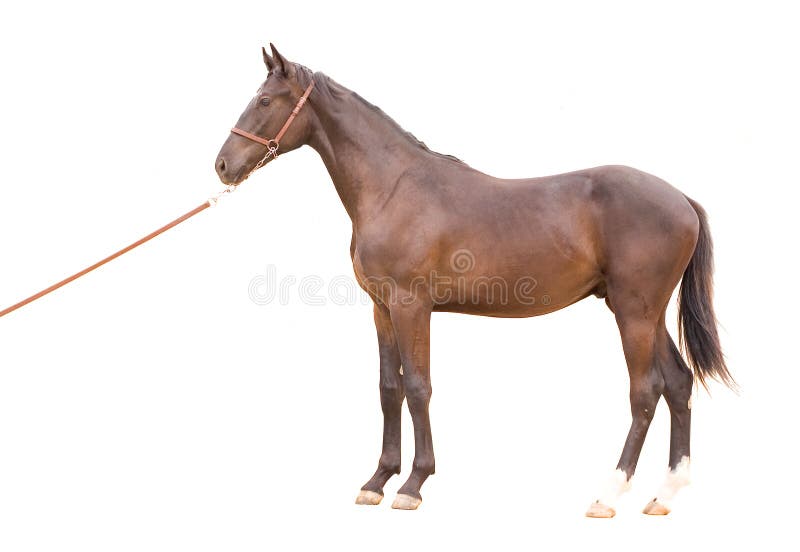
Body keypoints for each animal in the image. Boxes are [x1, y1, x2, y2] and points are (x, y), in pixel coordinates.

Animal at [214, 44, 735, 517]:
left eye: (265, 100)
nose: (222, 165)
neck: (393, 186)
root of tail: (682, 199)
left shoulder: (411, 305)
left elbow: (418, 387)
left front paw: (413, 484)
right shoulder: (381, 308)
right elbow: (388, 388)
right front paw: (377, 480)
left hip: (633, 312)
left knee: (645, 391)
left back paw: (607, 494)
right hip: (645, 312)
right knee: (678, 383)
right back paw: (664, 495)